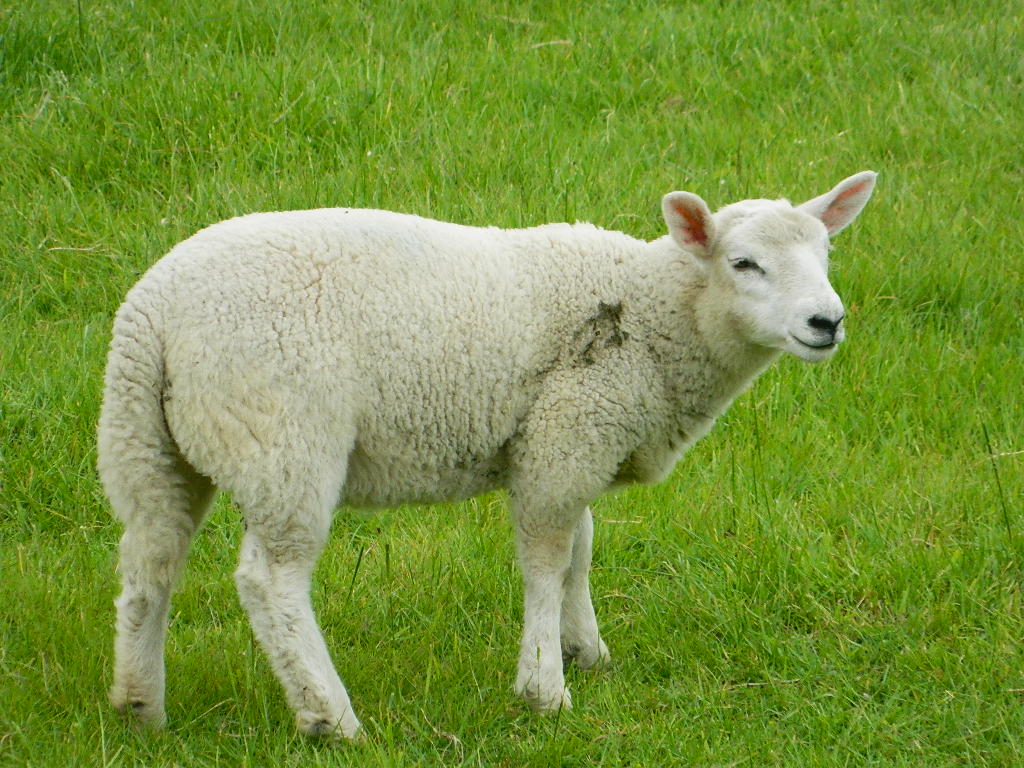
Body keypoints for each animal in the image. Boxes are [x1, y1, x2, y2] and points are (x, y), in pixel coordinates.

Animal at [97, 171, 877, 740]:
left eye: (825, 256)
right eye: (743, 263)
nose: (826, 321)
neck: (657, 317)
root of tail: (152, 312)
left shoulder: (569, 440)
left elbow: (582, 550)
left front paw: (586, 653)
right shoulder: (568, 436)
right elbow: (549, 560)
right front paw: (544, 688)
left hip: (151, 442)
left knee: (150, 564)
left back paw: (140, 708)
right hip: (283, 437)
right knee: (271, 581)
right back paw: (332, 718)